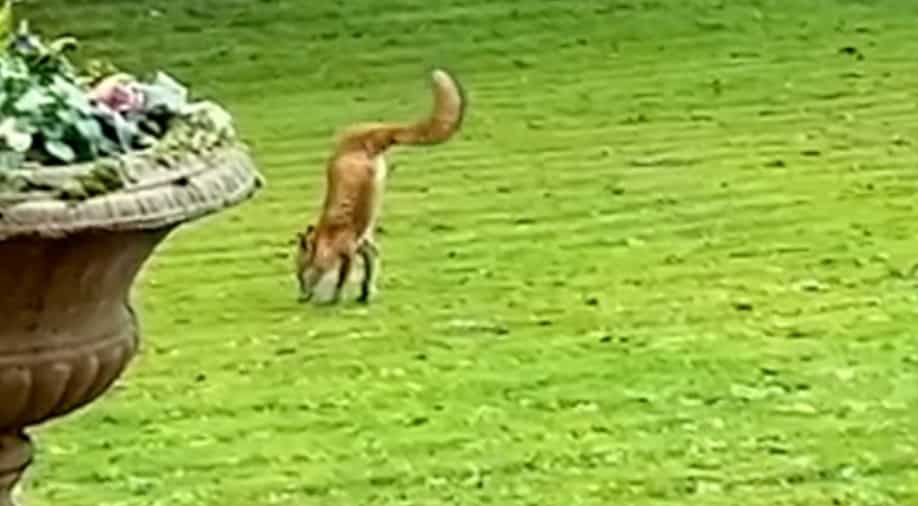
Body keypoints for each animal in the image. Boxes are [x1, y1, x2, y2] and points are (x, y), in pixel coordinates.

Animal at [294, 68, 466, 304]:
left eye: (300, 275)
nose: (300, 298)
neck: (330, 237)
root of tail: (362, 131)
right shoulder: (363, 244)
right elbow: (371, 262)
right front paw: (366, 294)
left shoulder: (349, 251)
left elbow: (342, 280)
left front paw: (336, 300)